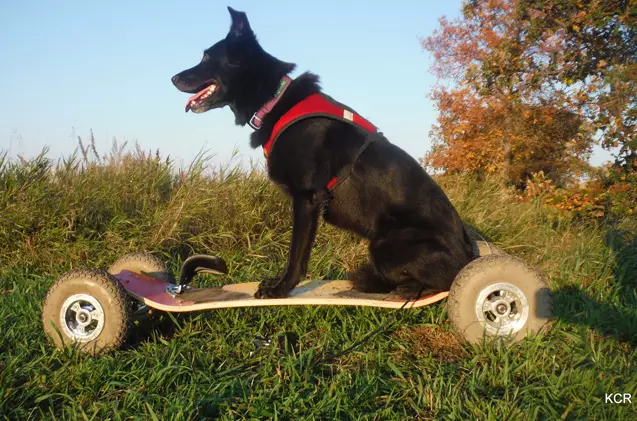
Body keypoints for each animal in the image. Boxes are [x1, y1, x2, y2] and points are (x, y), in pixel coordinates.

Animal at [171, 8, 474, 300]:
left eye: (206, 56)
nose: (172, 77)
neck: (275, 100)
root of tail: (468, 256)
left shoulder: (306, 199)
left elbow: (296, 255)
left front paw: (280, 290)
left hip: (385, 245)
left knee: (442, 282)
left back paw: (397, 287)